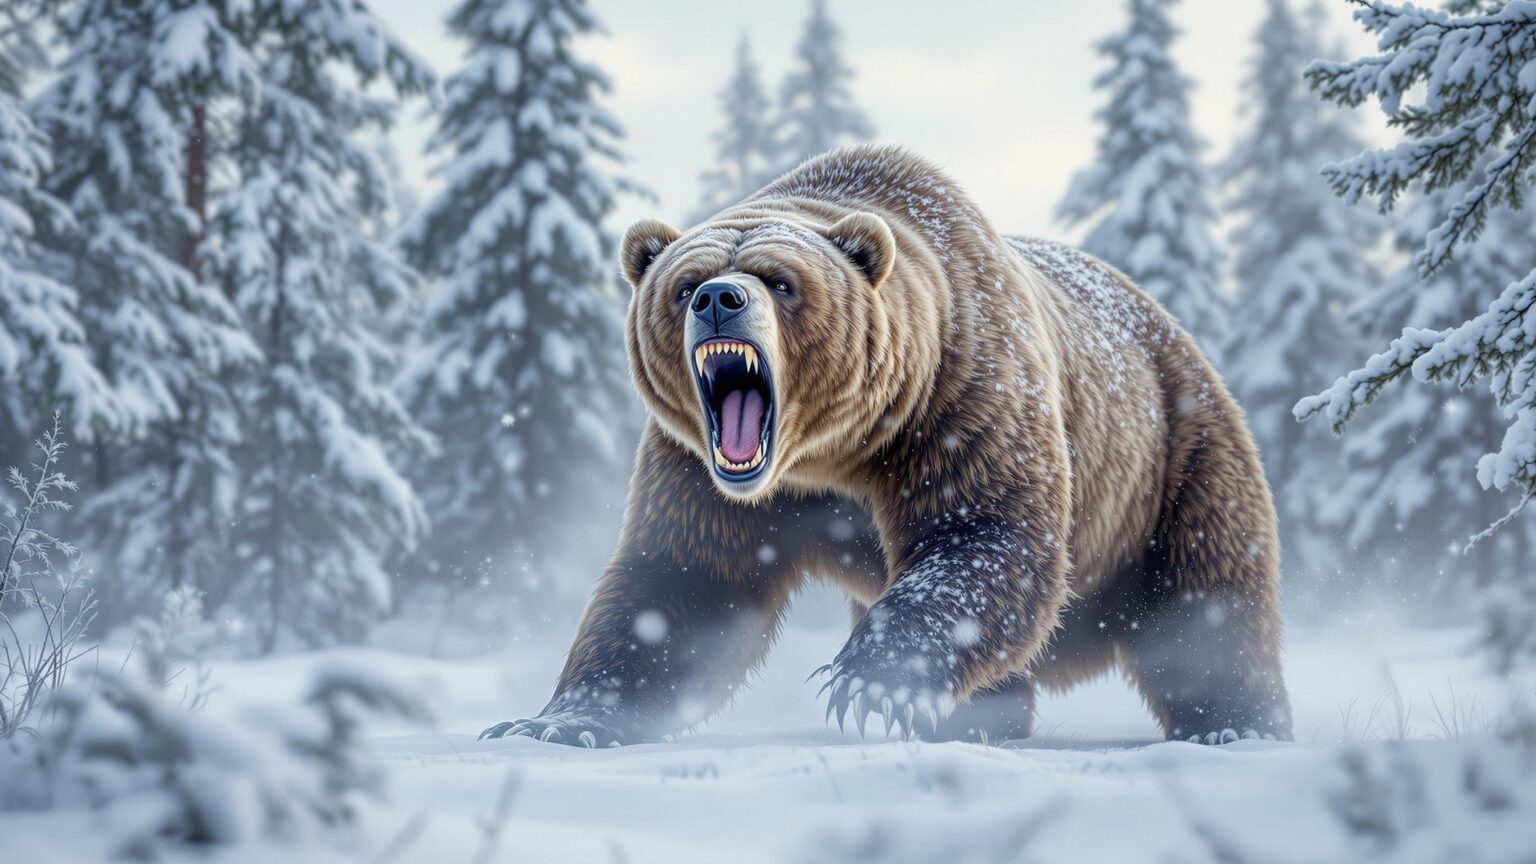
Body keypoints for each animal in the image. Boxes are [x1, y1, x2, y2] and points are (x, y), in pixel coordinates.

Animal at [481, 145, 1293, 747]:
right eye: (686, 284)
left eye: (779, 281)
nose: (720, 299)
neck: (830, 453)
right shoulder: (699, 469)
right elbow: (681, 582)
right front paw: (552, 723)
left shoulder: (962, 398)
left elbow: (981, 534)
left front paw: (873, 686)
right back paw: (981, 722)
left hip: (1178, 453)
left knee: (1209, 602)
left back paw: (1235, 725)